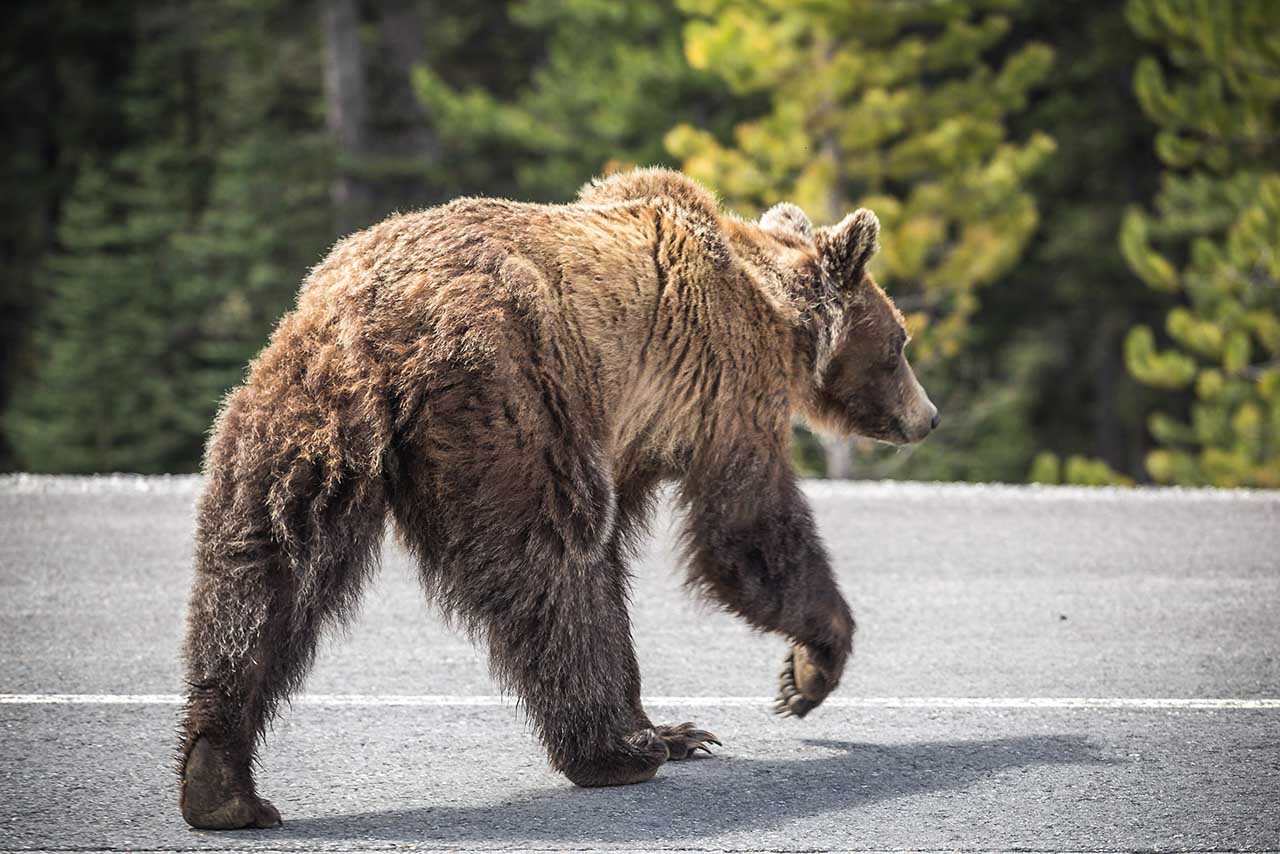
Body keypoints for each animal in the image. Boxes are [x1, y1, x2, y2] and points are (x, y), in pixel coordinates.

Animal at [177, 167, 938, 829]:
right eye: (900, 343)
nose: (927, 417)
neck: (777, 314)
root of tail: (380, 319)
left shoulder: (630, 427)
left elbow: (619, 558)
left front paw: (681, 721)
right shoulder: (723, 385)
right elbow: (745, 529)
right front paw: (808, 667)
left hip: (301, 409)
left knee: (261, 564)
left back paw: (220, 783)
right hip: (510, 392)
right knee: (546, 562)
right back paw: (612, 753)